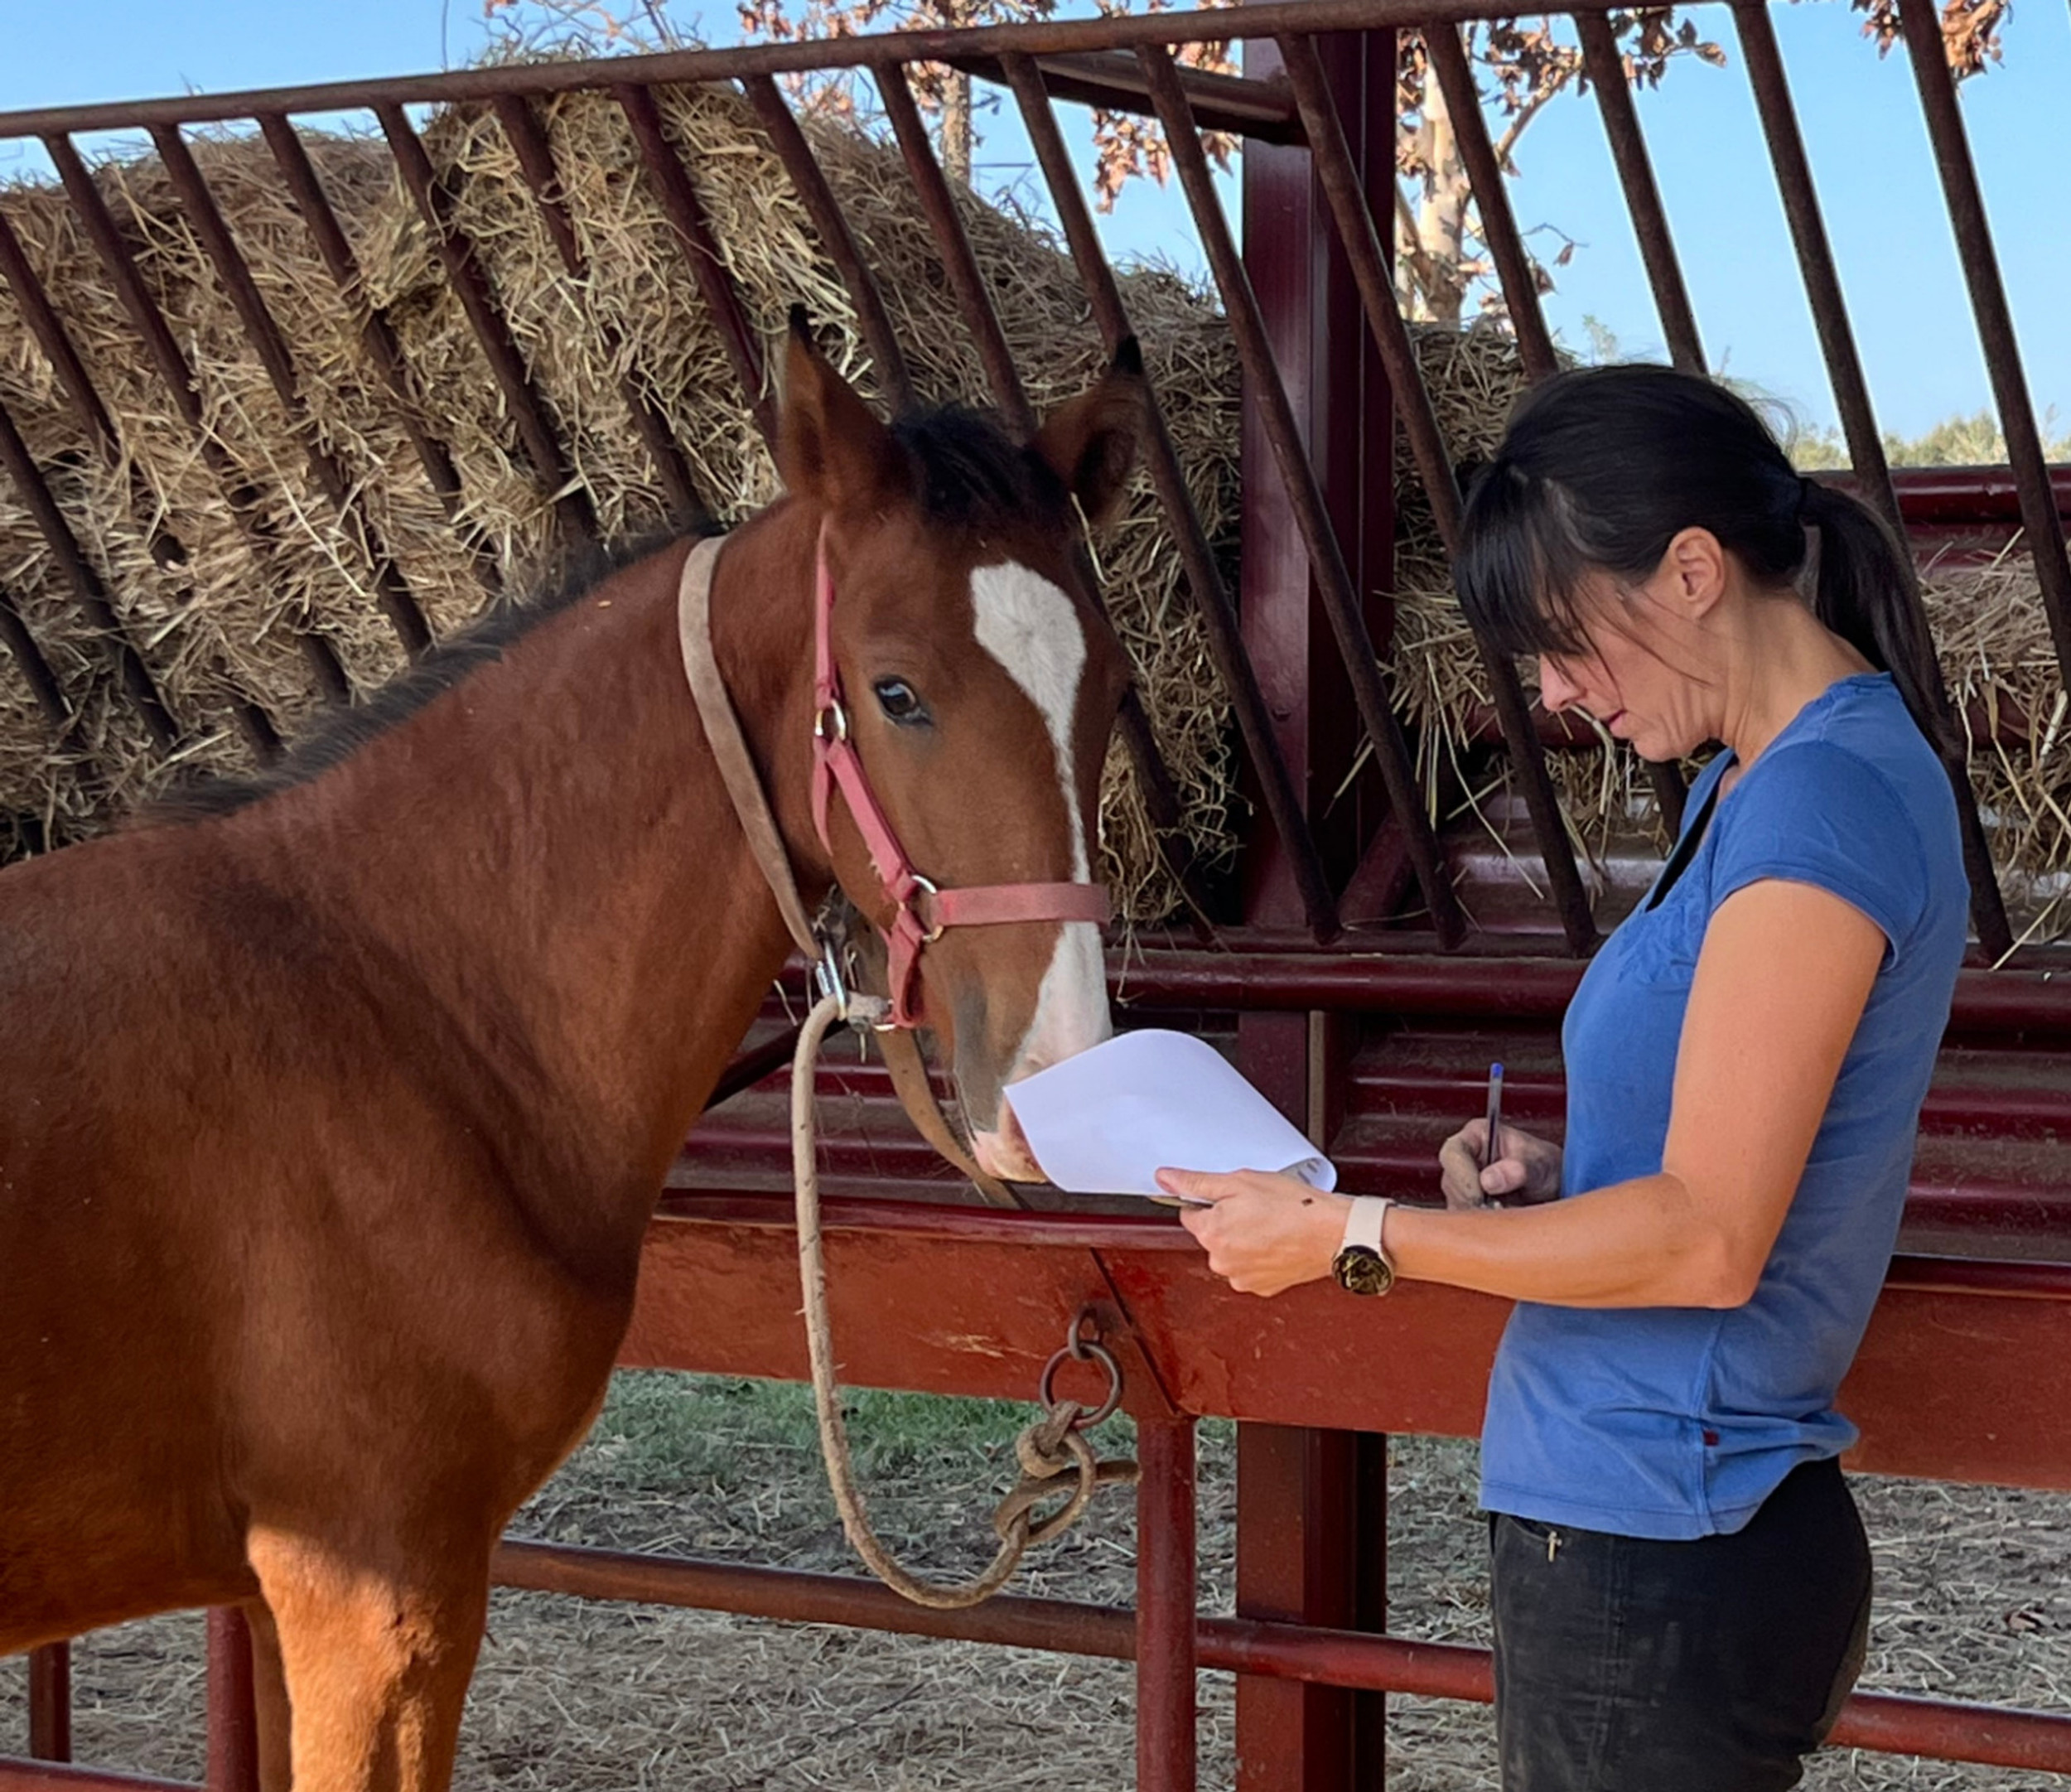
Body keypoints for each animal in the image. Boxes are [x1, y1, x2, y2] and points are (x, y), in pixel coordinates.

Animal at [0, 315, 1145, 1790]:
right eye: (896, 691)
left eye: (1108, 689)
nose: (1062, 1078)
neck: (393, 1005)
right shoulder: (375, 1596)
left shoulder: (275, 1598)